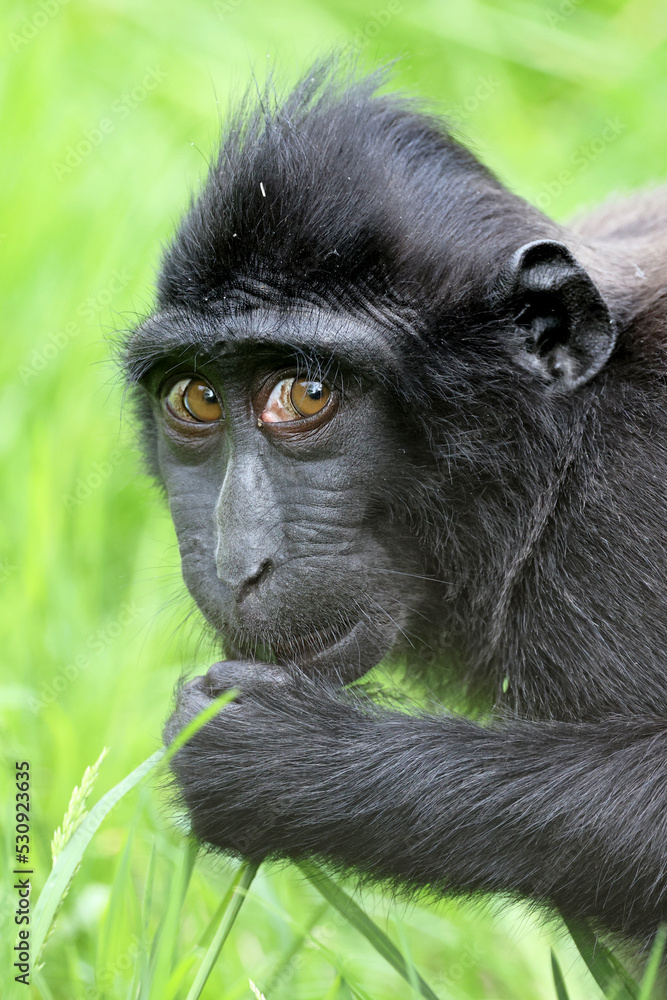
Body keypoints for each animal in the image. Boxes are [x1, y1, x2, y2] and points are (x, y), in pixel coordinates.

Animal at [123, 62, 667, 942]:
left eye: (305, 394)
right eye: (196, 400)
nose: (238, 562)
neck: (562, 440)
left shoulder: (625, 513)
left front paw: (280, 756)